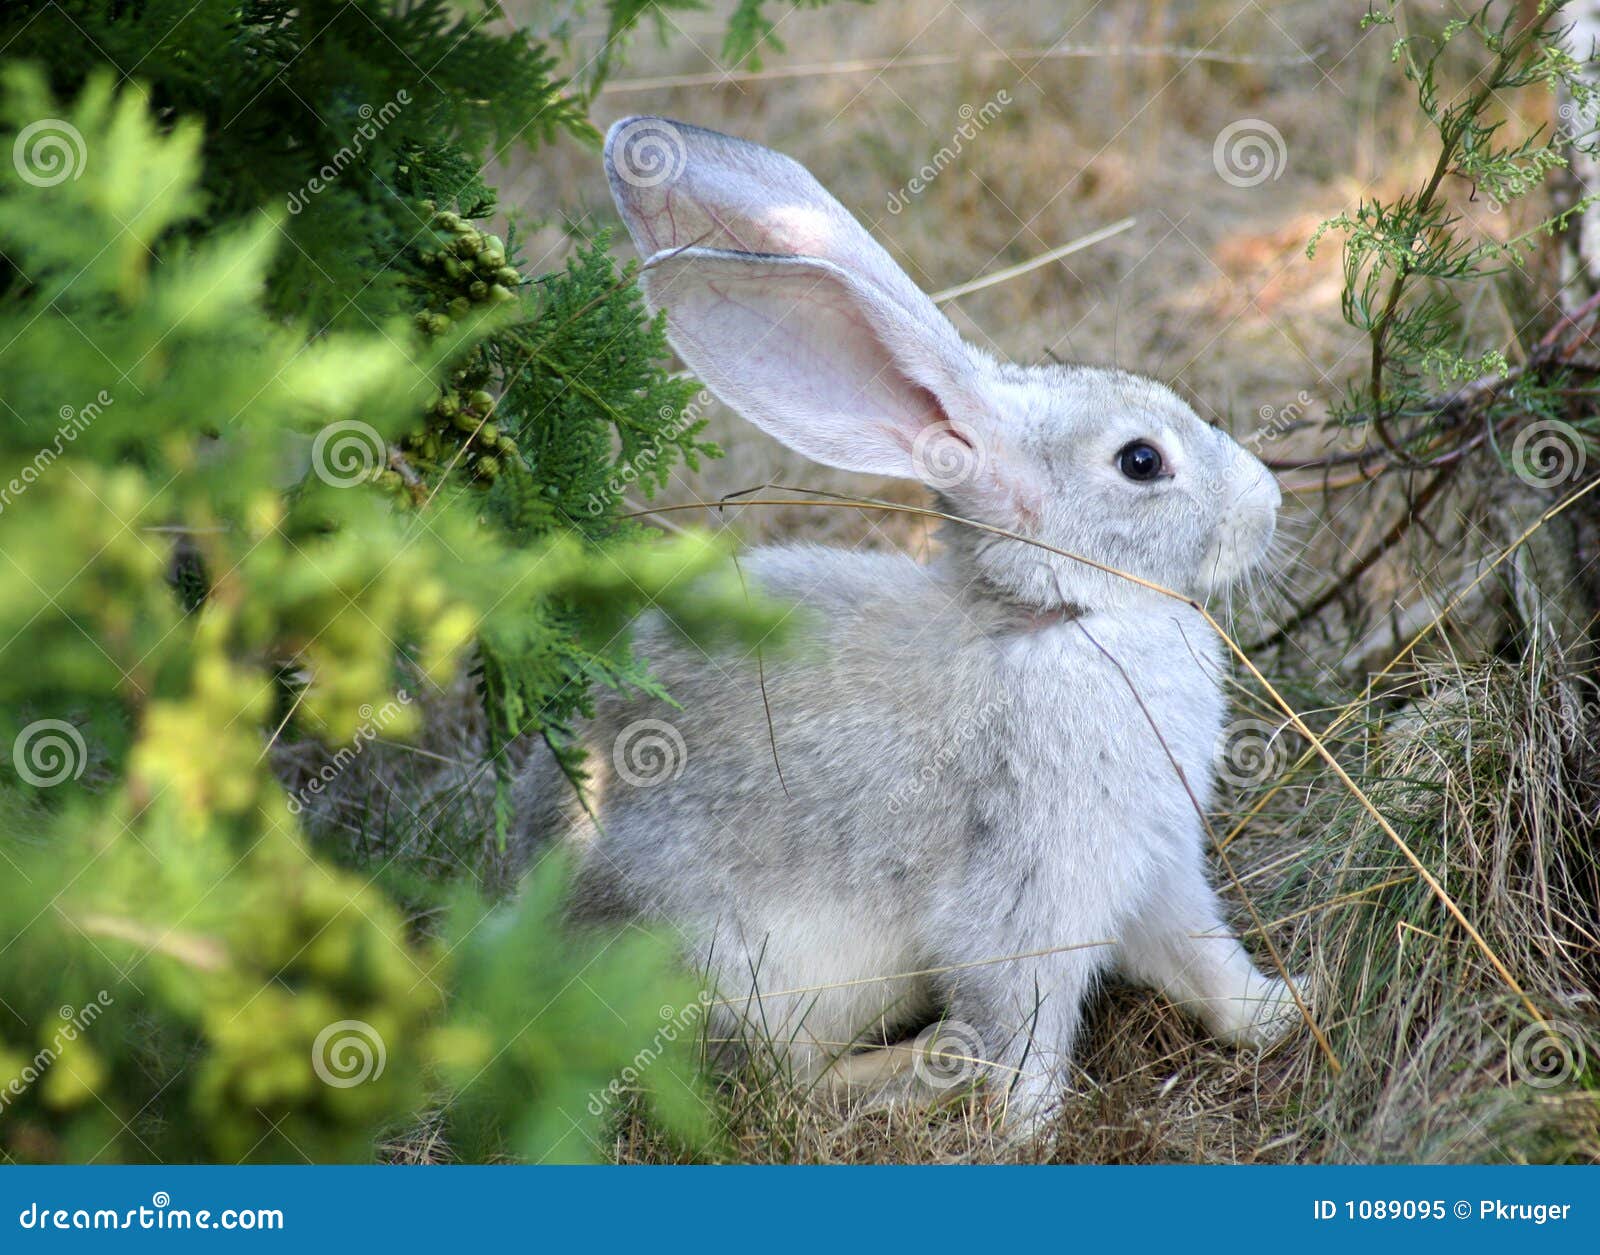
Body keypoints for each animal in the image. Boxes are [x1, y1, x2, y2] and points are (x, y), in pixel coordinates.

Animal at [515, 115, 1302, 1131]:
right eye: (1141, 461)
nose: (1267, 503)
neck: (1053, 616)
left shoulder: (1159, 874)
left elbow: (1205, 961)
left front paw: (1285, 1009)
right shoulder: (1027, 896)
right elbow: (1025, 1028)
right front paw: (1027, 1127)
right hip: (727, 968)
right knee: (781, 1086)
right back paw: (923, 1067)